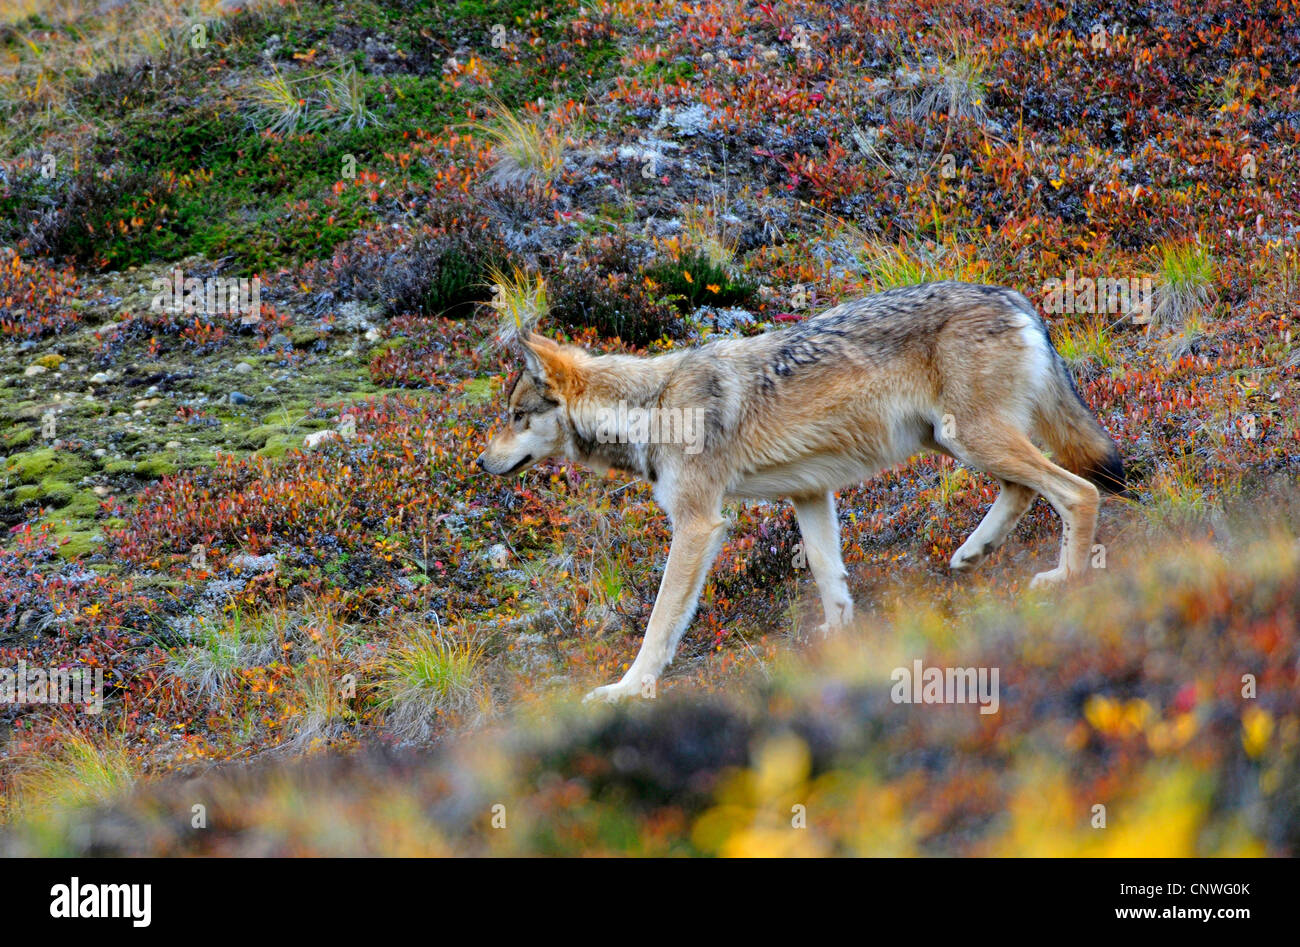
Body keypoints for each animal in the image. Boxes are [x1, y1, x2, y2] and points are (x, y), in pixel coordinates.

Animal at [477, 282, 1125, 702]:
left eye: (514, 416)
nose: (482, 462)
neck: (651, 408)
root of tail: (1017, 298)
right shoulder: (810, 494)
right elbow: (829, 580)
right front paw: (837, 646)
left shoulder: (698, 523)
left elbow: (660, 623)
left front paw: (628, 688)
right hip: (956, 442)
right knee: (1023, 490)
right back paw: (973, 553)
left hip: (969, 440)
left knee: (1078, 492)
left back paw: (1067, 579)